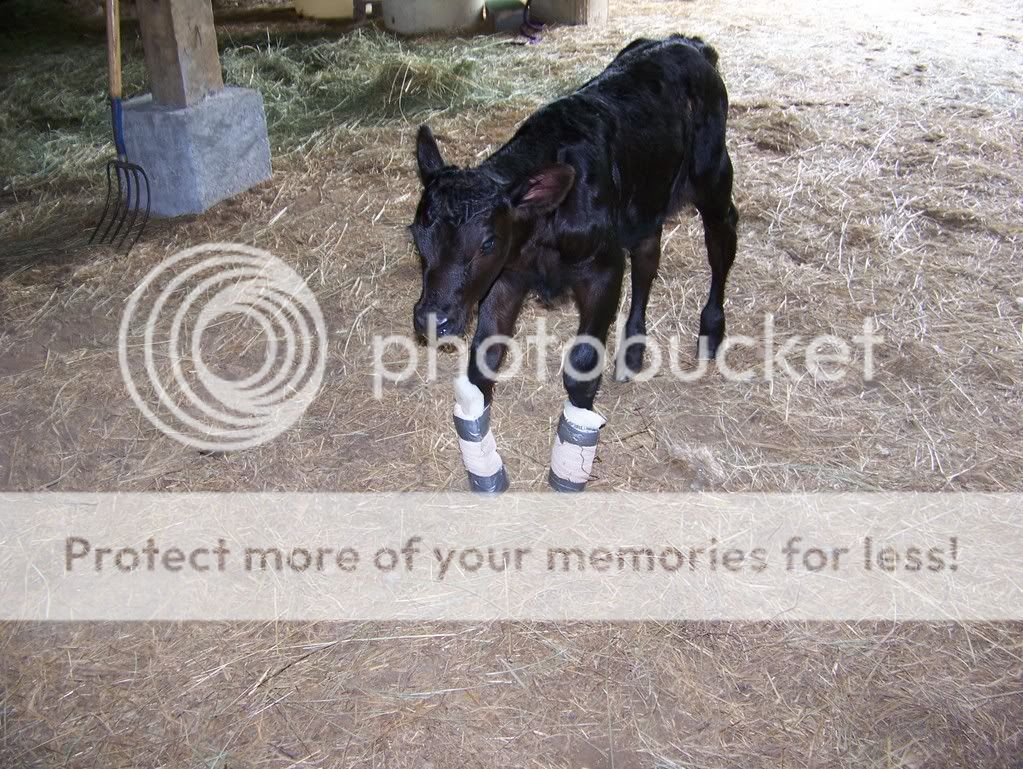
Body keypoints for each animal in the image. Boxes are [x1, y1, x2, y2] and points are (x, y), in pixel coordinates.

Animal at [410, 35, 738, 491]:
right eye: (416, 237)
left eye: (488, 243)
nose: (432, 319)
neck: (542, 235)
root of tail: (685, 42)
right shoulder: (507, 279)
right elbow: (483, 360)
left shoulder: (603, 268)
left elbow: (582, 363)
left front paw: (572, 447)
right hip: (645, 202)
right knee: (648, 256)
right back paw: (632, 350)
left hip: (712, 174)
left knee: (722, 238)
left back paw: (711, 330)